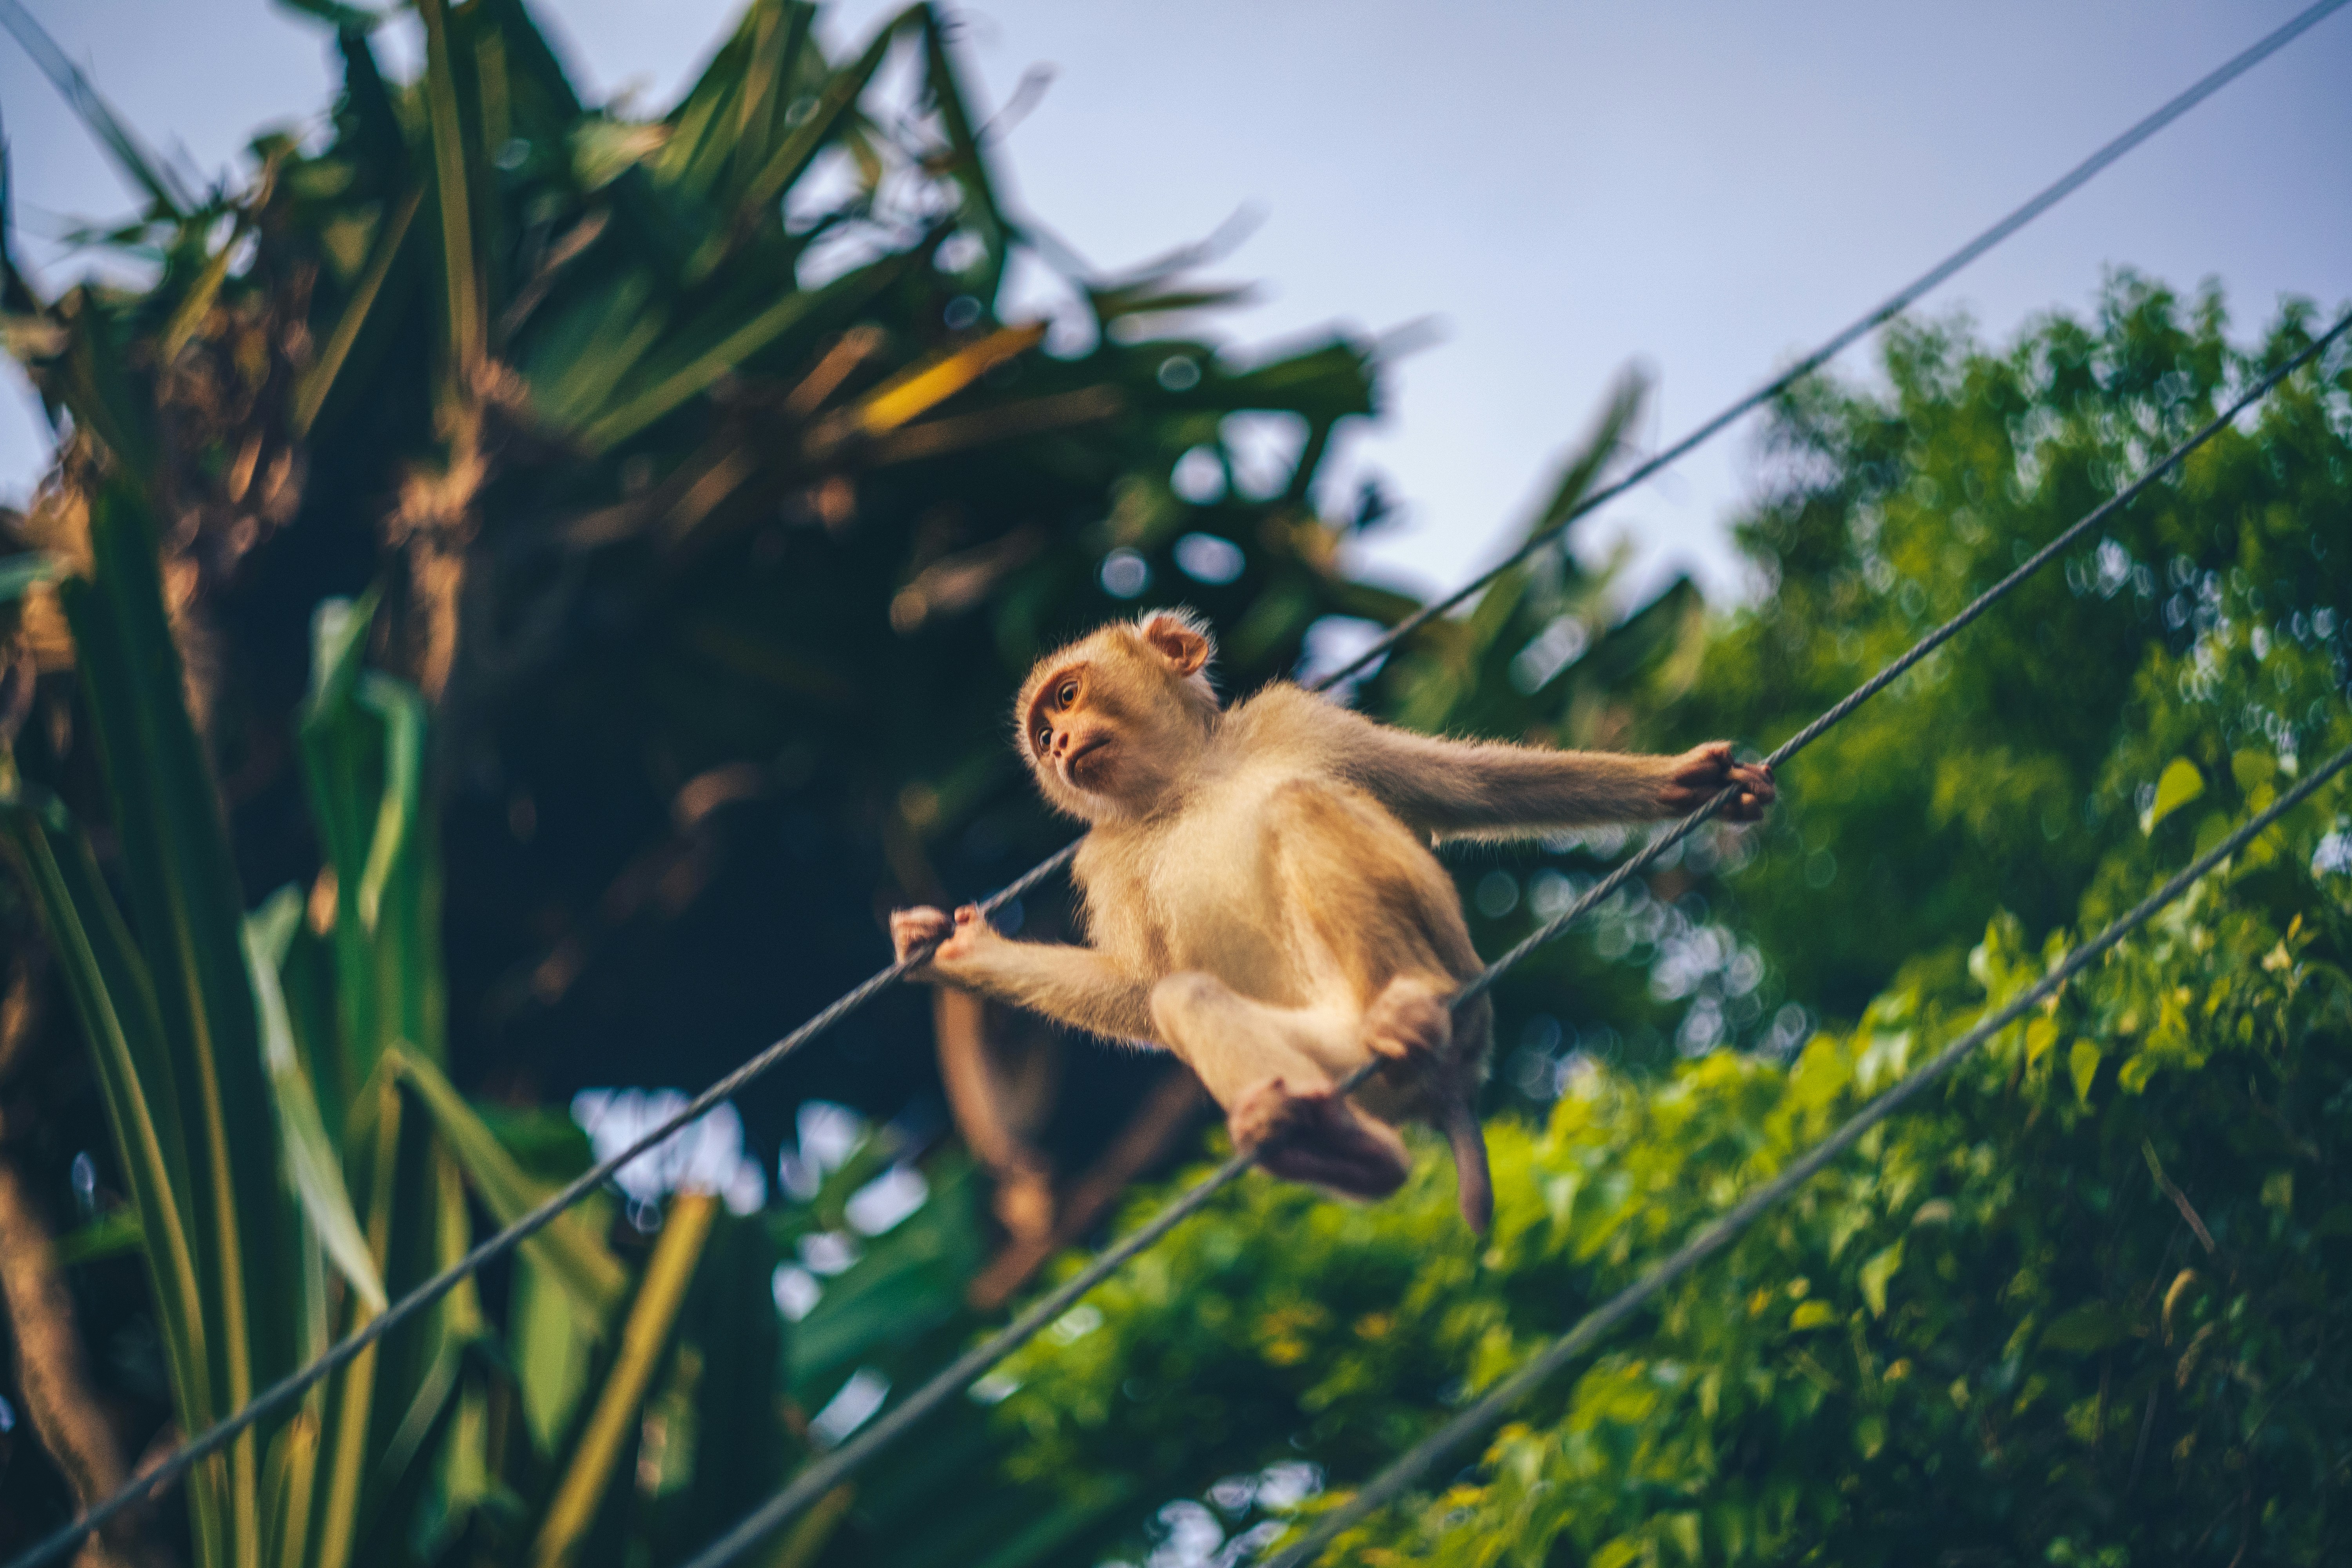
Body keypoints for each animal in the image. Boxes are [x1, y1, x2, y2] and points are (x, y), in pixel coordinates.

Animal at [890, 611, 1773, 1232]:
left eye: (1068, 697)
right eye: (1044, 731)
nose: (1060, 744)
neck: (1187, 782)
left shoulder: (1299, 722)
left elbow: (1462, 789)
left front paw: (1687, 783)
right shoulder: (1104, 860)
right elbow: (1143, 988)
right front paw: (957, 954)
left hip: (1456, 978)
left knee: (1302, 805)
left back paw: (1409, 1005)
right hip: (1336, 1059)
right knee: (1189, 998)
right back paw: (1334, 1145)